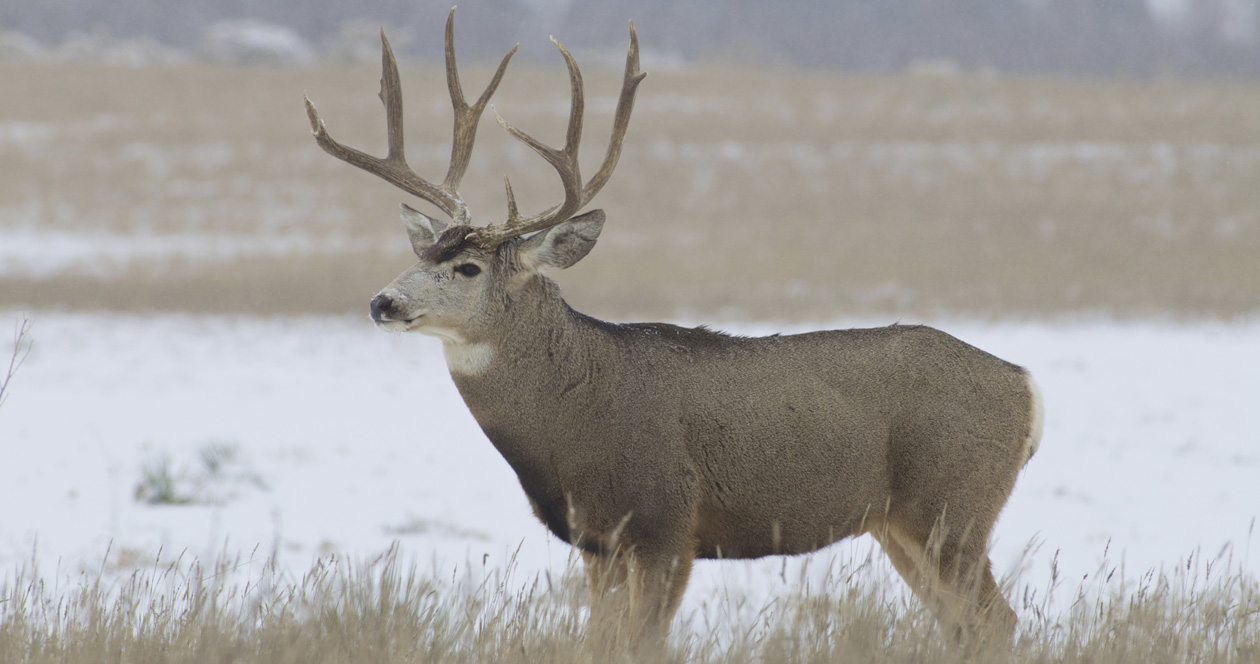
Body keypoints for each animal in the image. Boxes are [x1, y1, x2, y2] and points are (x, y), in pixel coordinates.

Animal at [303, 9, 1045, 649]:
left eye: (466, 266)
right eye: (421, 253)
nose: (382, 302)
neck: (574, 417)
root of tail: (1026, 385)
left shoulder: (665, 524)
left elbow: (642, 643)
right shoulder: (599, 543)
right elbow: (599, 642)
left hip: (952, 506)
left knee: (996, 621)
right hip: (902, 526)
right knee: (964, 625)